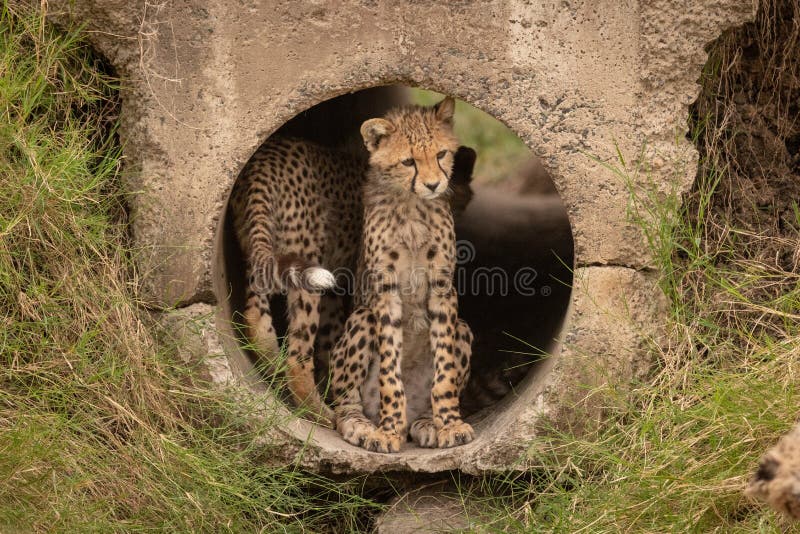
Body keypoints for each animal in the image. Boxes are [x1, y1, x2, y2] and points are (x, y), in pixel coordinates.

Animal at [229, 131, 477, 427]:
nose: (434, 189)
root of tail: (264, 160)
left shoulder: (336, 281)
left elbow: (330, 339)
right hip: (306, 258)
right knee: (298, 353)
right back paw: (320, 412)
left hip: (258, 252)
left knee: (255, 316)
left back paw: (271, 370)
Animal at [330, 97, 476, 453]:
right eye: (409, 161)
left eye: (441, 154)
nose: (434, 184)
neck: (412, 204)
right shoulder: (386, 291)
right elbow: (389, 372)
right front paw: (388, 431)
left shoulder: (441, 286)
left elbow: (445, 371)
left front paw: (449, 424)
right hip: (362, 318)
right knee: (343, 402)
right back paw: (362, 425)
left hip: (463, 329)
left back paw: (425, 422)